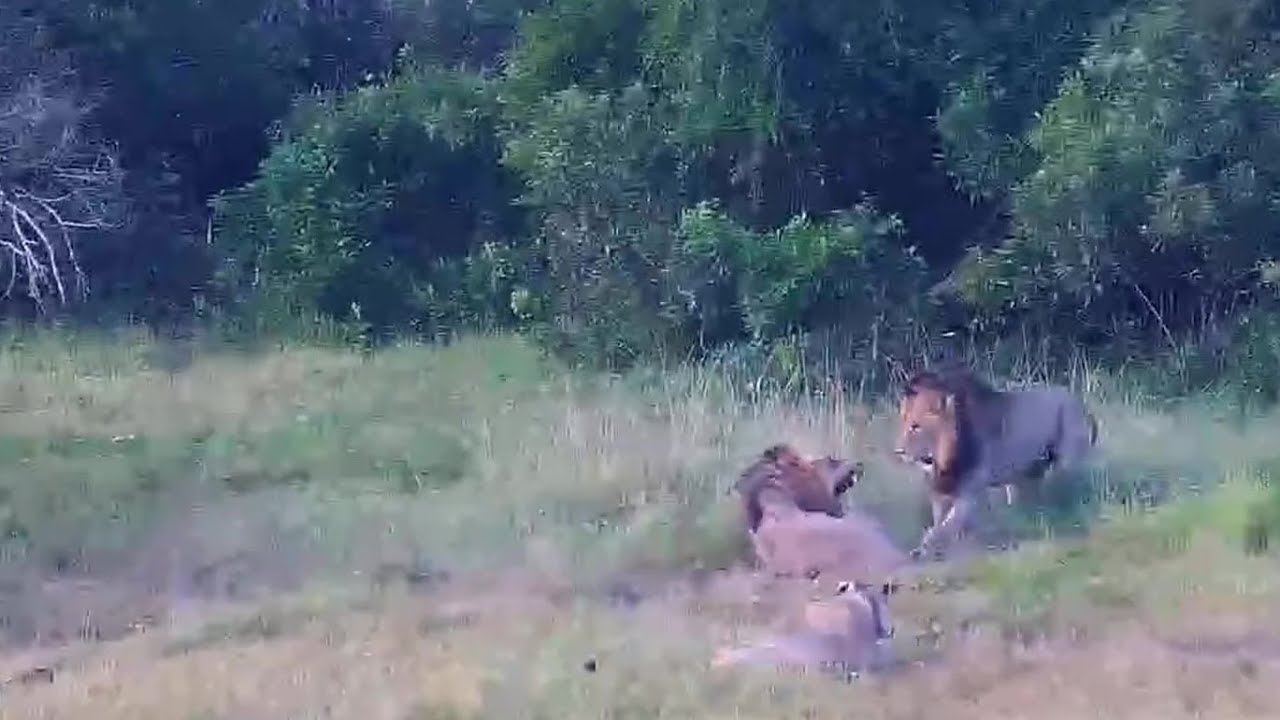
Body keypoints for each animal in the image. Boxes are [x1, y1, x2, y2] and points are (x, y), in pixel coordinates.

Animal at [893, 364, 1100, 559]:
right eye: (903, 422)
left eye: (916, 427)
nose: (899, 452)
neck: (942, 457)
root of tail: (1080, 403)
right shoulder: (942, 489)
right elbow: (941, 521)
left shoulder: (971, 488)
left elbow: (947, 524)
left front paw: (926, 549)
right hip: (1032, 472)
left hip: (1067, 461)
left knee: (1072, 488)